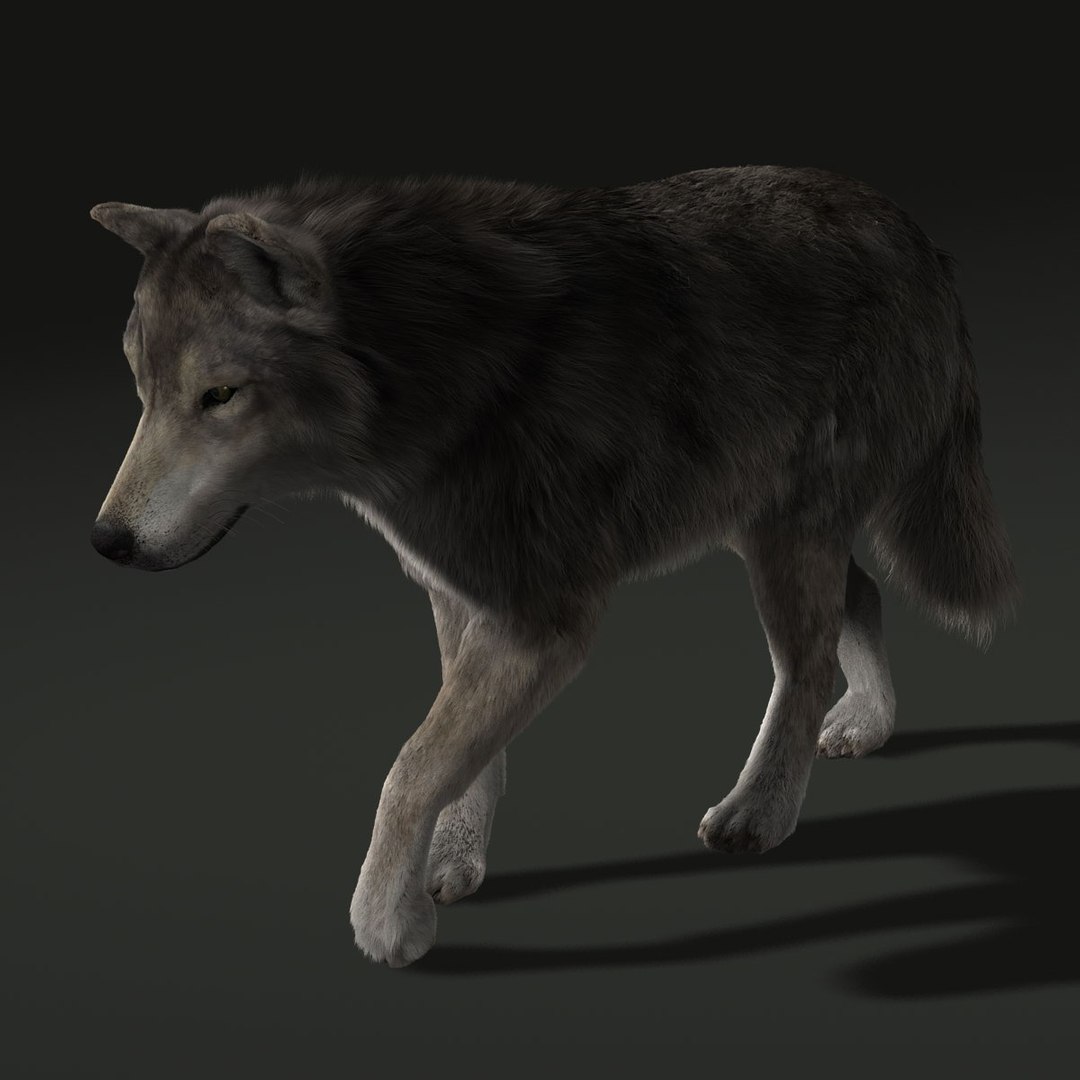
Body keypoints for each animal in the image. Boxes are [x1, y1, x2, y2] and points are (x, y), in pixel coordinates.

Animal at [89, 165, 1020, 967]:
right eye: (139, 385)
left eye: (218, 396)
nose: (107, 543)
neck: (438, 364)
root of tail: (910, 230)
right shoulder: (458, 595)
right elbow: (461, 758)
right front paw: (452, 861)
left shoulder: (543, 620)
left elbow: (410, 768)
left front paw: (387, 922)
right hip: (754, 522)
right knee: (860, 598)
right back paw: (867, 725)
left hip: (786, 534)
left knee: (808, 662)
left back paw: (759, 813)